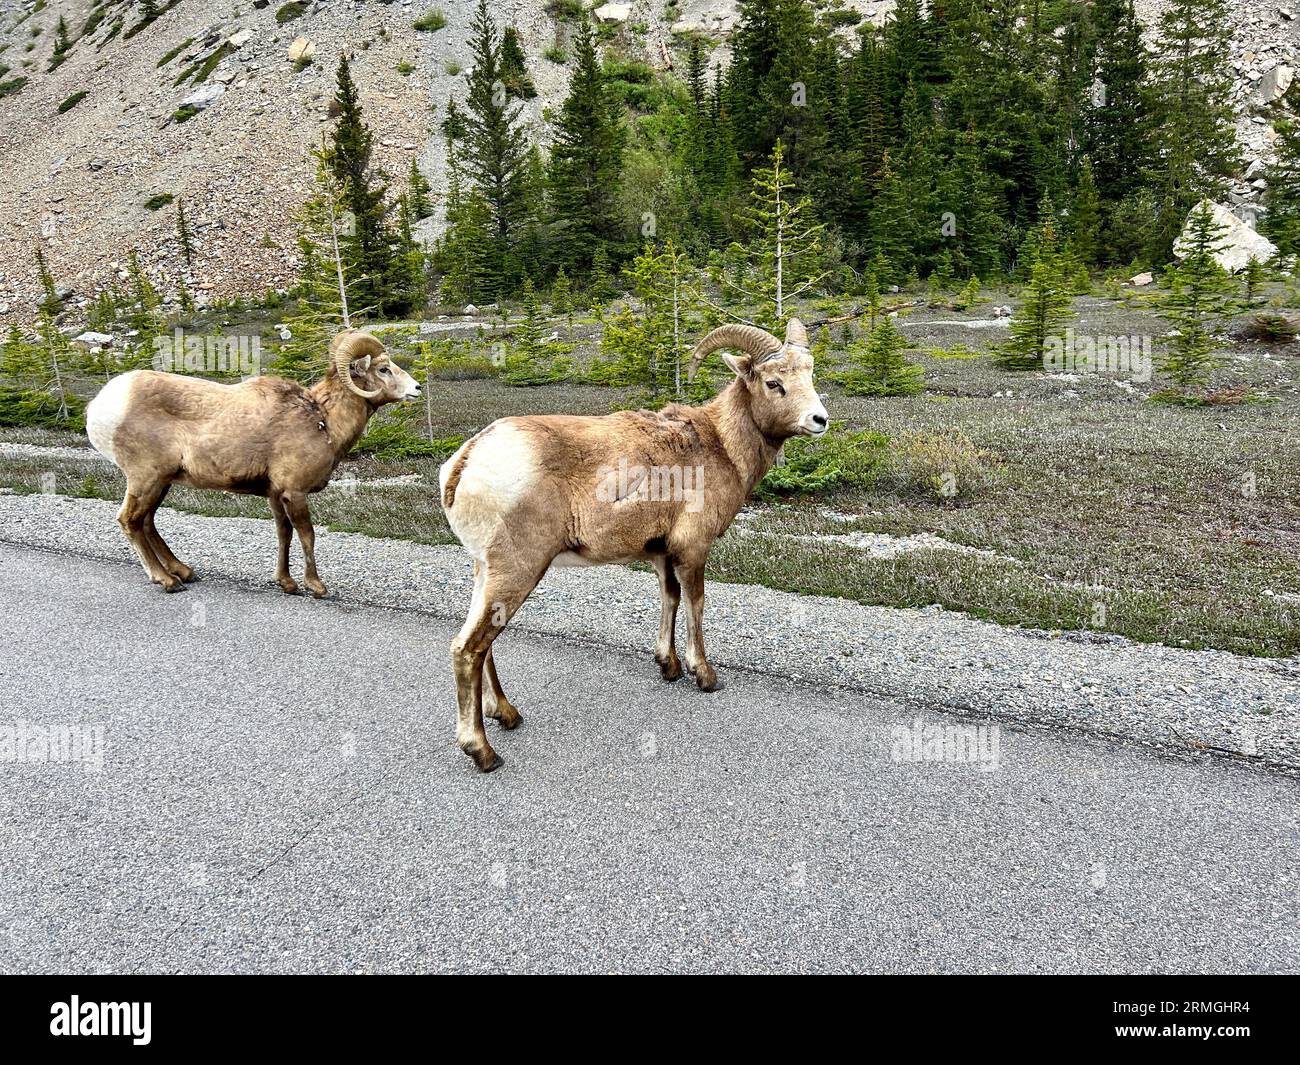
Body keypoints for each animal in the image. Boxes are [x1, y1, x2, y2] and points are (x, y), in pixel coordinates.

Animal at [85, 329, 420, 597]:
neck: (323, 421)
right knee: (130, 521)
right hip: (146, 479)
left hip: (161, 482)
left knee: (147, 522)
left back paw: (184, 572)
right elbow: (307, 535)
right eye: (384, 369)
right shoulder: (295, 493)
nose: (416, 388)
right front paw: (316, 586)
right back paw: (167, 581)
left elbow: (283, 535)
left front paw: (286, 583)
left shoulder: (275, 494)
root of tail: (100, 406)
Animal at [438, 318, 828, 771]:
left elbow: (670, 598)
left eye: (809, 374)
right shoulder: (692, 550)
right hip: (517, 570)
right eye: (773, 383)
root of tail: (464, 463)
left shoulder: (660, 553)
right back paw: (484, 752)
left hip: (485, 571)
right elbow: (694, 604)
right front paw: (704, 676)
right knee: (469, 648)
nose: (819, 419)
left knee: (482, 645)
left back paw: (508, 715)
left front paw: (669, 667)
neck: (721, 446)